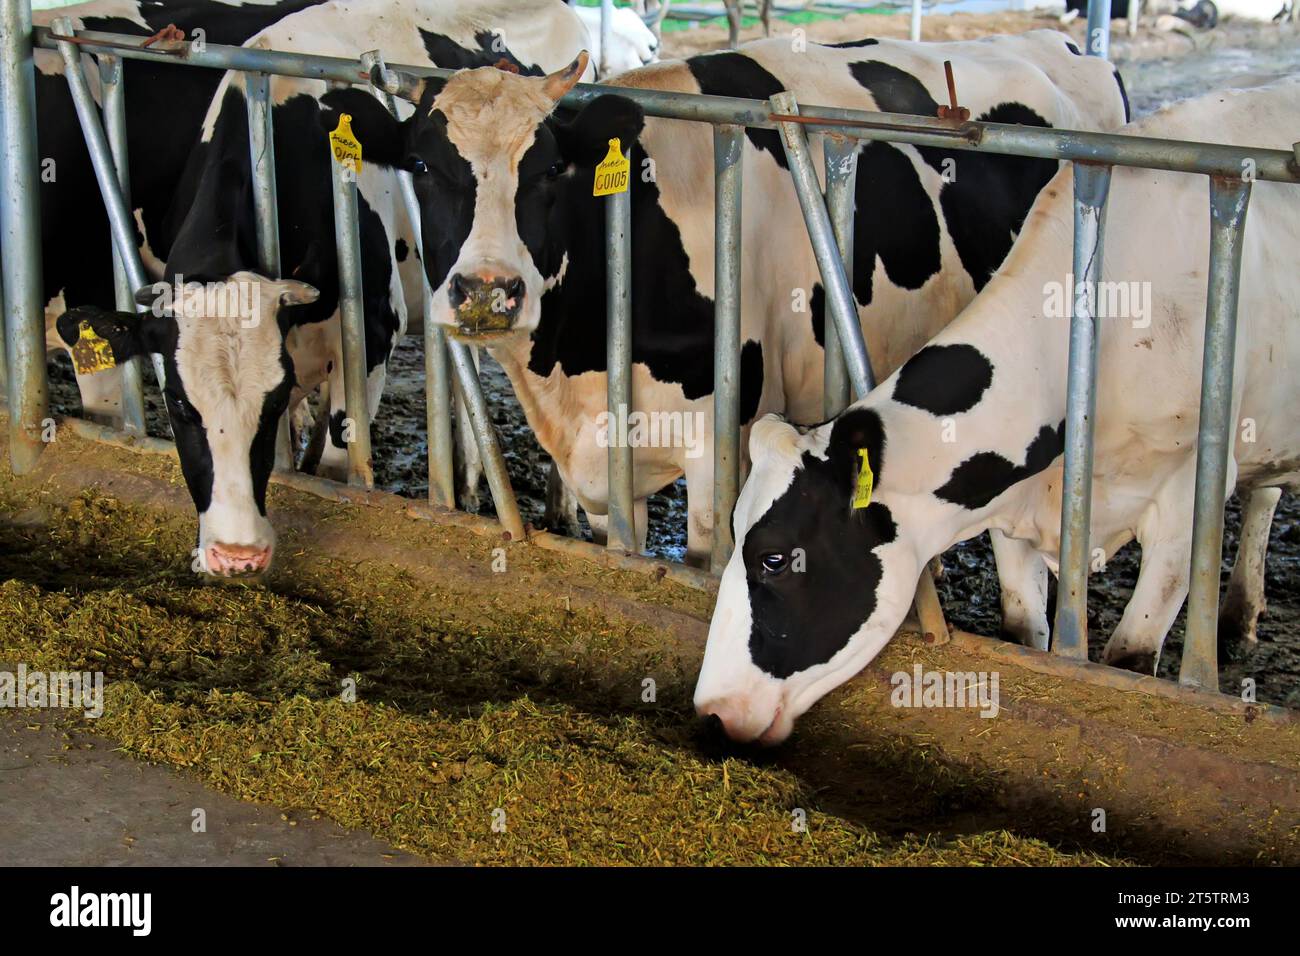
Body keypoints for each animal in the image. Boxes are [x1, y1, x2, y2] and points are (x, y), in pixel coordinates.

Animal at [53, 0, 591, 576]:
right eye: (177, 404)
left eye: (270, 402)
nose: (236, 555)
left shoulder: (372, 336)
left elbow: (337, 465)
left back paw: (562, 511)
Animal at [693, 79, 1300, 744]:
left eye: (774, 558)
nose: (713, 710)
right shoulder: (1011, 513)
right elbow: (1024, 632)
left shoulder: (1185, 505)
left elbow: (1131, 658)